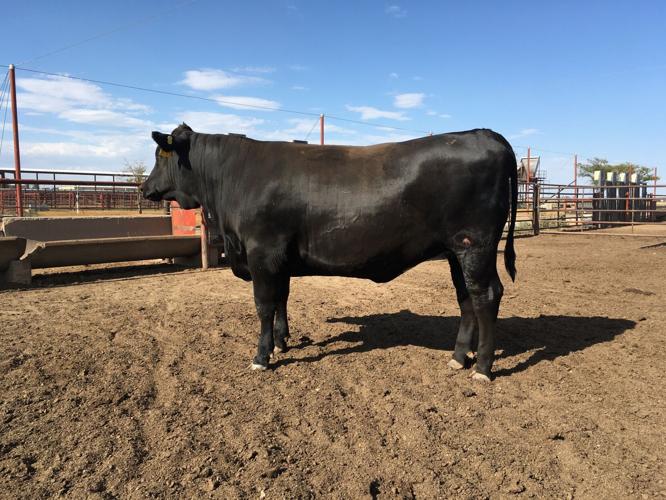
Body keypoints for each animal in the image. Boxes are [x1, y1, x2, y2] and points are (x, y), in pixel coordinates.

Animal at [142, 124, 517, 381]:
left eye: (160, 157)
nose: (145, 188)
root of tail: (485, 133)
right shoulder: (279, 259)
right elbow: (282, 298)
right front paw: (281, 341)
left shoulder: (262, 252)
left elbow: (264, 304)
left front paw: (262, 356)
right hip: (456, 250)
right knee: (466, 298)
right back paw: (459, 356)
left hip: (475, 244)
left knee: (485, 295)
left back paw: (483, 367)